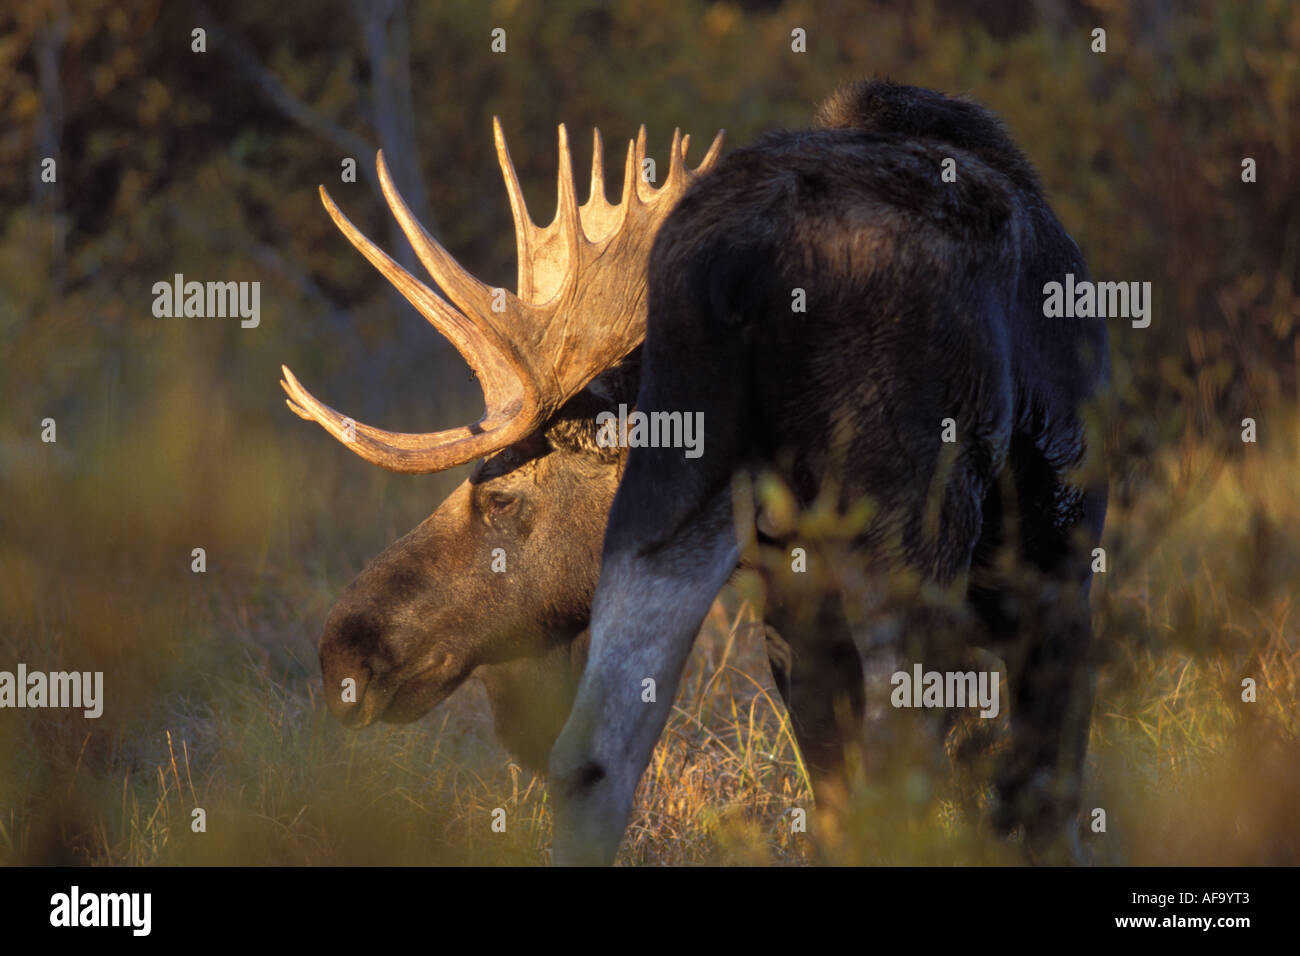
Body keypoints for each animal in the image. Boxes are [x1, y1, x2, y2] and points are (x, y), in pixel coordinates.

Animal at [282, 81, 1109, 866]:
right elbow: (1043, 806)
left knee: (593, 757)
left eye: (500, 499)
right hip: (910, 525)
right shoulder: (1063, 561)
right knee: (899, 765)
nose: (344, 655)